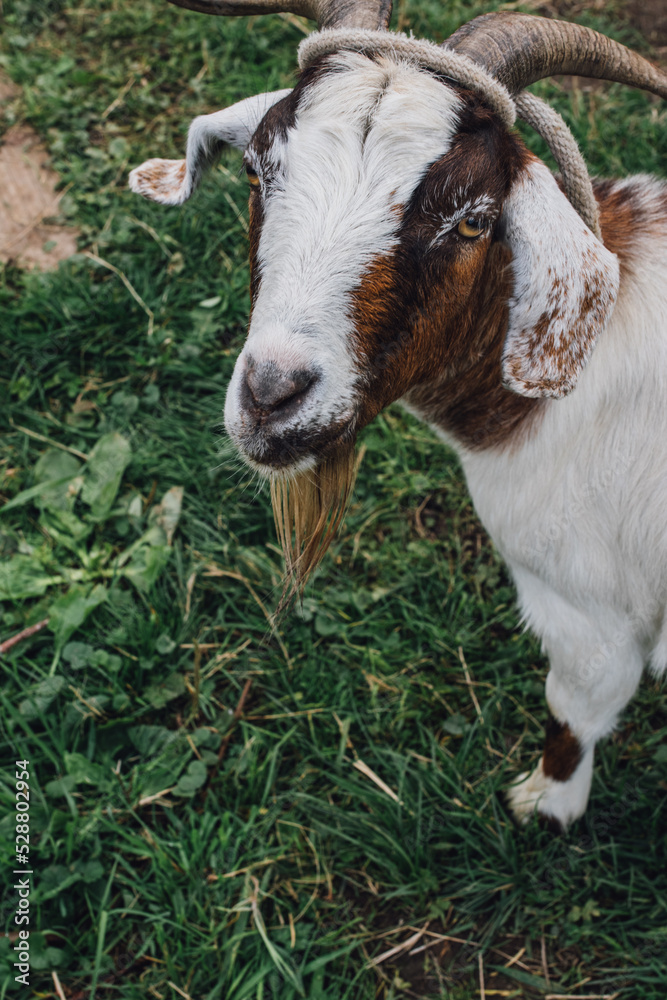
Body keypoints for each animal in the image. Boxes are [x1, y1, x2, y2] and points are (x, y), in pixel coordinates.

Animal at [130, 0, 667, 832]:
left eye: (474, 221)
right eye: (255, 171)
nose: (272, 395)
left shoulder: (590, 611)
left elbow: (574, 706)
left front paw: (546, 801)